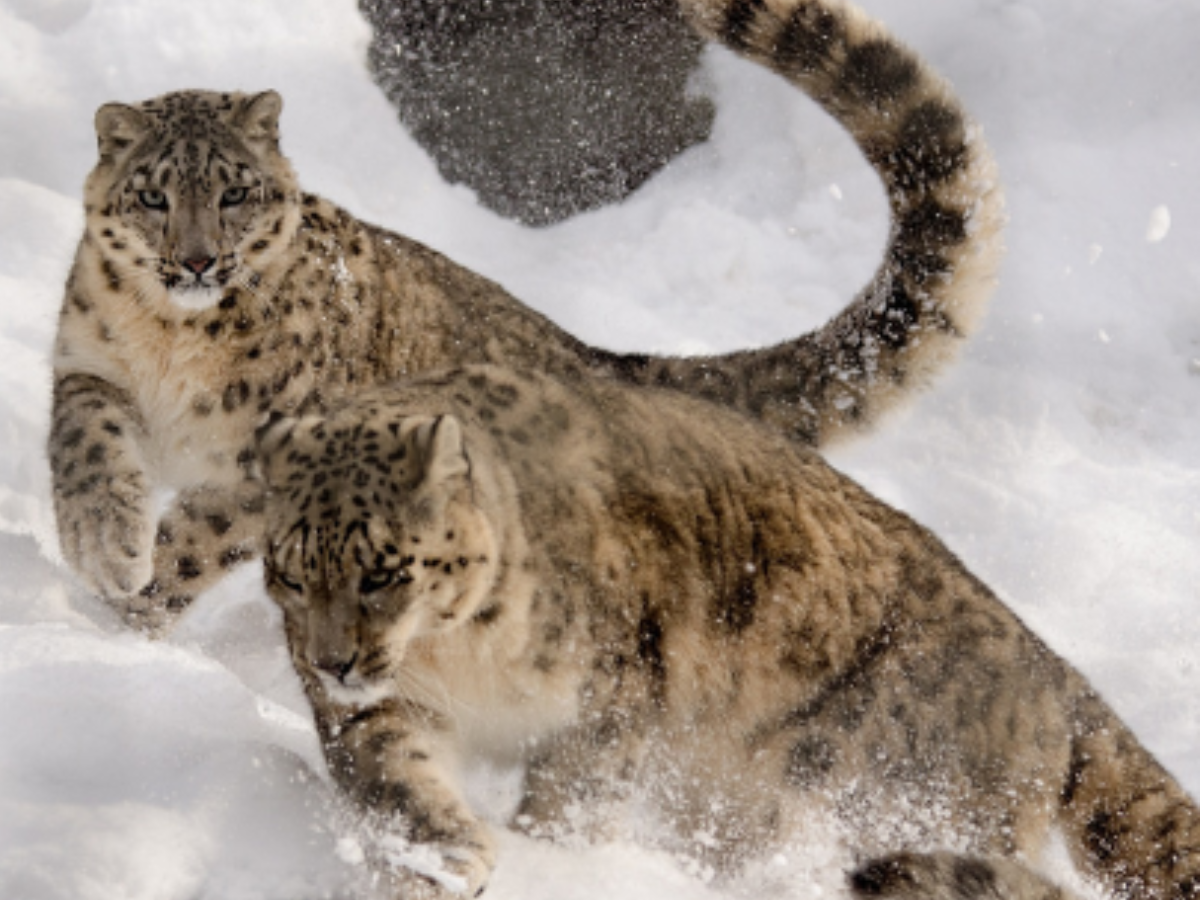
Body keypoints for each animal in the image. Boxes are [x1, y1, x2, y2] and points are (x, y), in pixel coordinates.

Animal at [48, 0, 1004, 634]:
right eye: (154, 196)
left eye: (235, 193)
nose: (197, 261)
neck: (174, 346)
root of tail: (596, 354)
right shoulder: (90, 364)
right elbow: (85, 448)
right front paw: (104, 546)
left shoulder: (270, 456)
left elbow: (197, 538)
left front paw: (127, 607)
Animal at [255, 362, 1200, 900]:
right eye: (291, 571)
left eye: (384, 572)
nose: (336, 663)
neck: (459, 658)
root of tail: (1052, 670)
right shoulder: (383, 711)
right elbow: (398, 779)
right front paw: (450, 860)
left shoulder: (609, 700)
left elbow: (573, 799)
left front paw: (553, 861)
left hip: (900, 798)